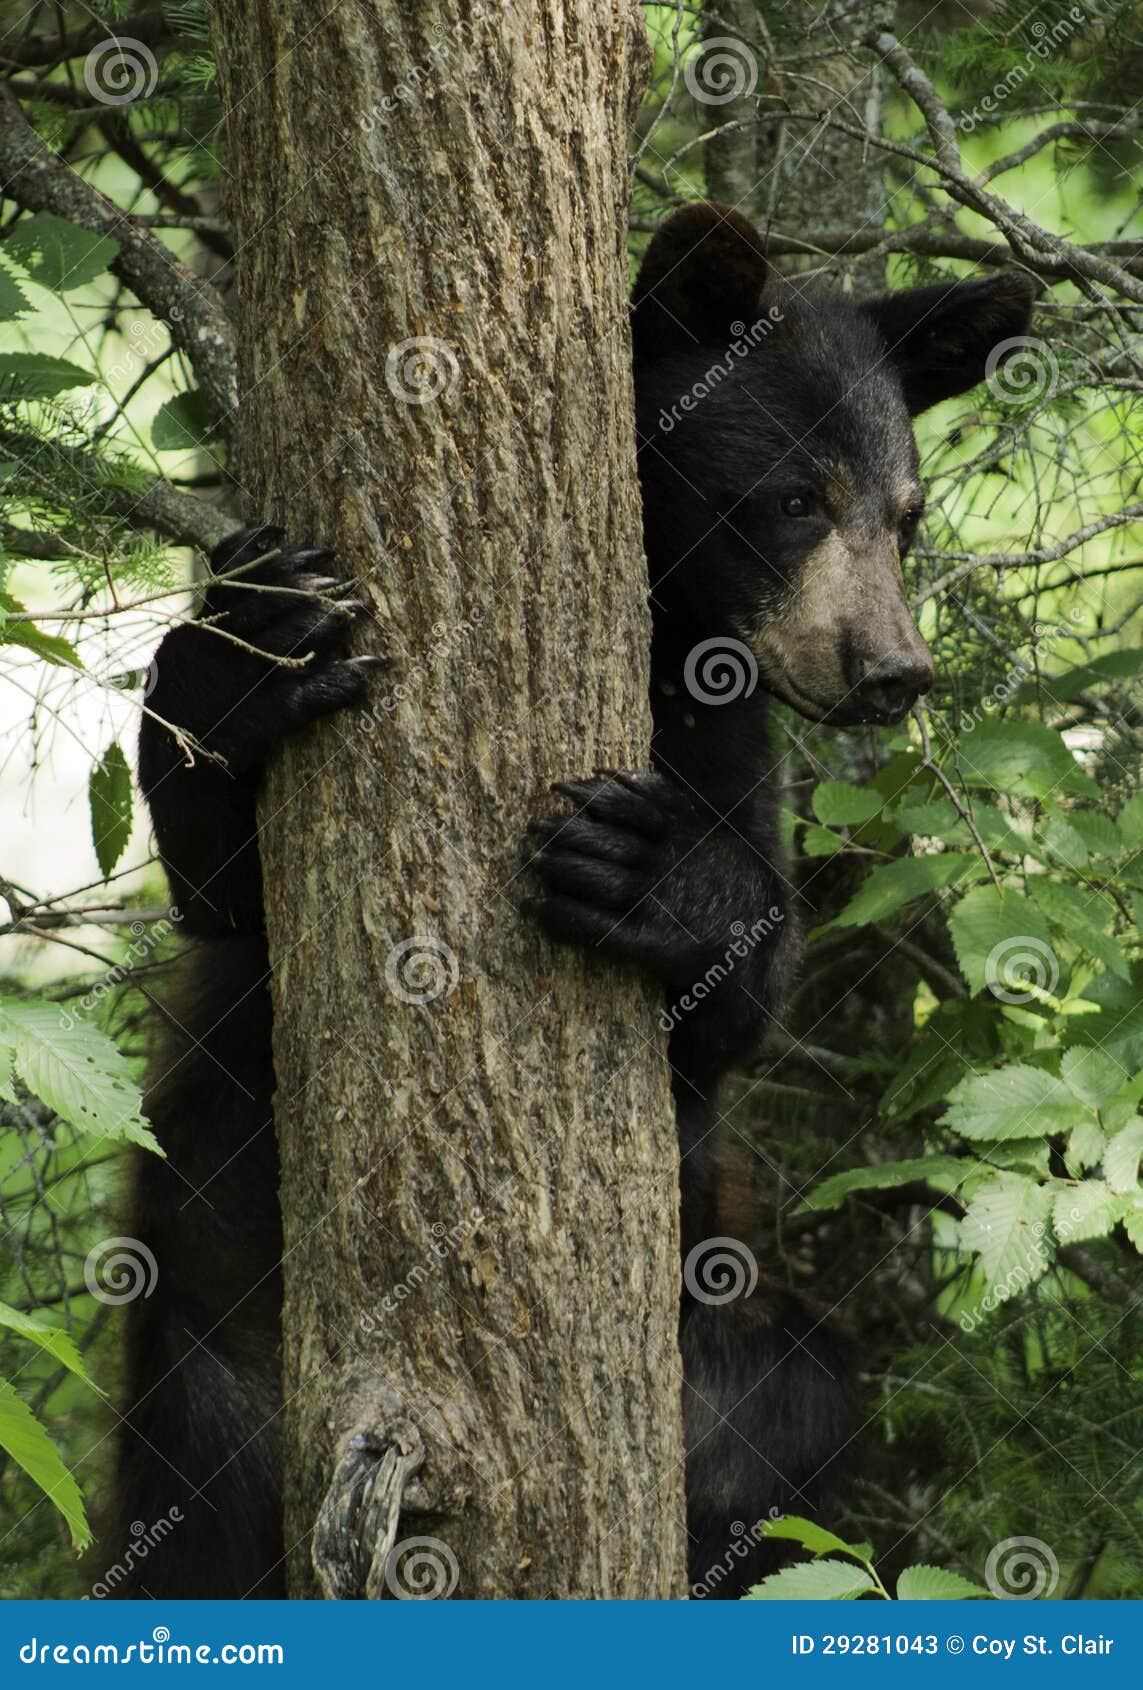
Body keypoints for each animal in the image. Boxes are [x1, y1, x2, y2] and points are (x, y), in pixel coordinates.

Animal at [106, 201, 1033, 1599]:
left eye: (906, 515)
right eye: (793, 499)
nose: (893, 670)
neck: (658, 630)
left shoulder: (724, 727)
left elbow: (741, 994)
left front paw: (644, 868)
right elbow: (224, 894)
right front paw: (250, 651)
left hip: (728, 1334)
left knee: (794, 1404)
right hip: (199, 1356)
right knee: (188, 1522)